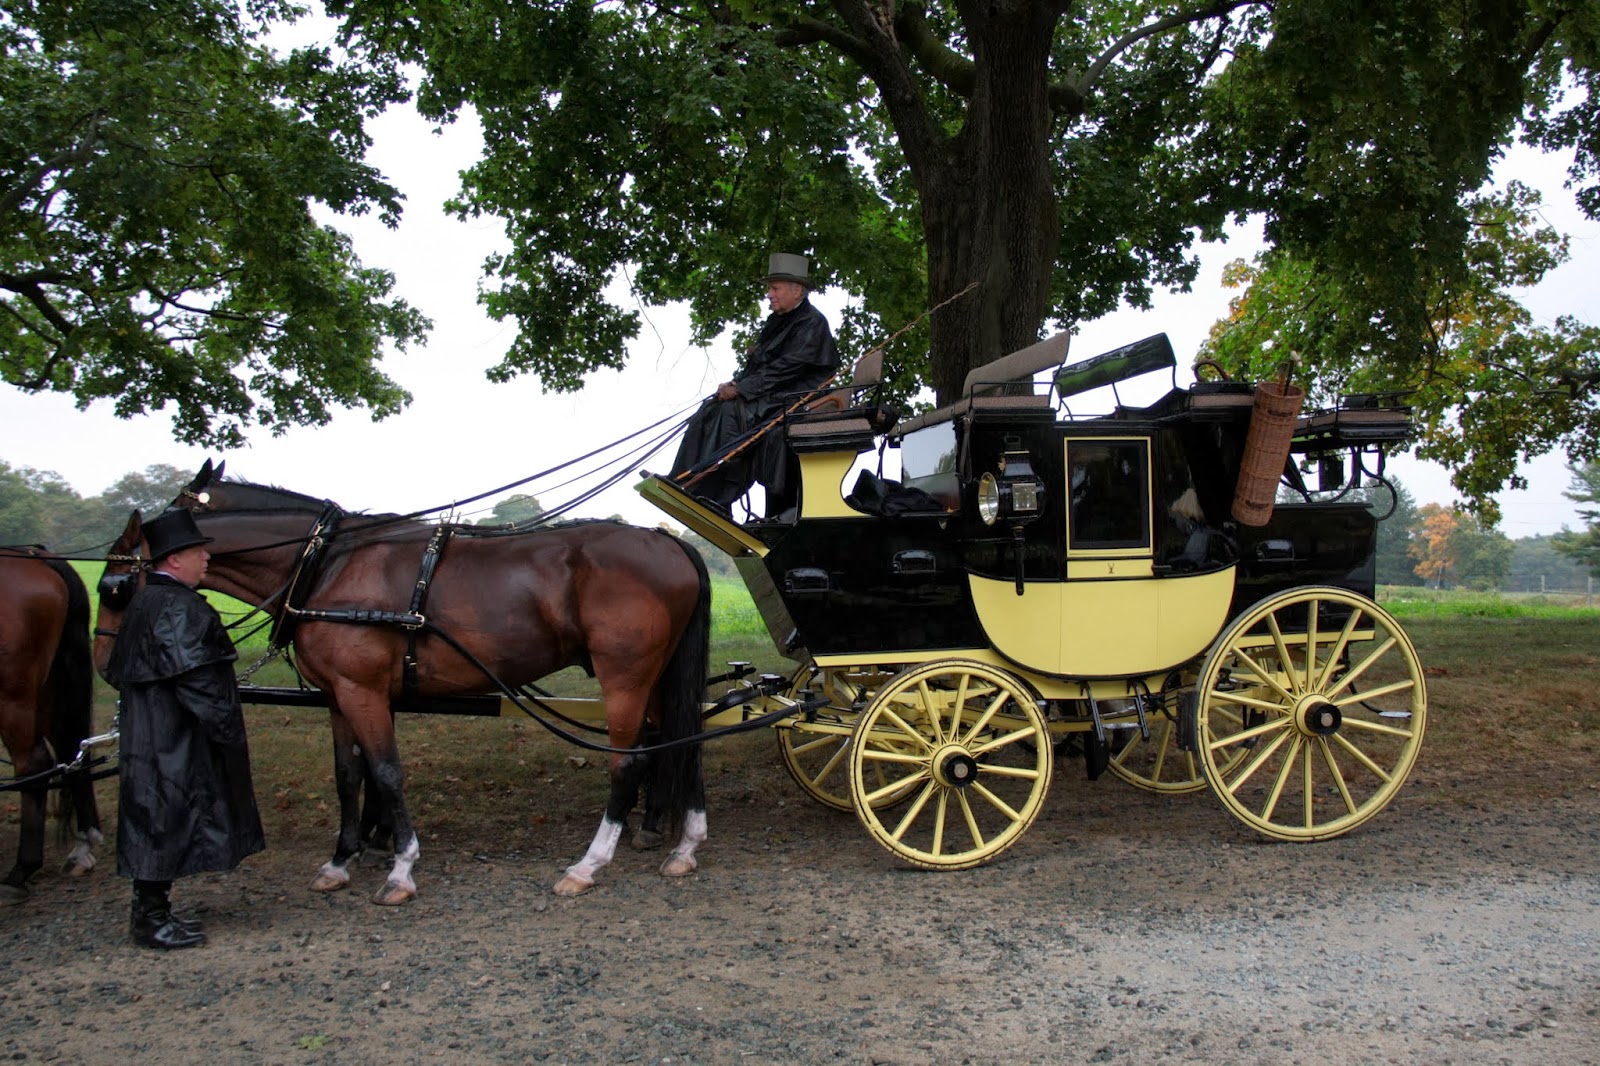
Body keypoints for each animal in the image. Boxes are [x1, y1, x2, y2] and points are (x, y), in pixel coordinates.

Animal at [0, 546, 104, 903]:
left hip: (14, 699)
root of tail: (33, 554)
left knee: (34, 766)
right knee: (70, 749)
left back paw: (21, 870)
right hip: (49, 690)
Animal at [109, 461, 712, 903]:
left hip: (624, 677)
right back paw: (684, 846)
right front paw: (340, 859)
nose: (110, 589)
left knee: (628, 761)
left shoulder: (363, 691)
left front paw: (400, 867)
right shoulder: (339, 696)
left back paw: (589, 864)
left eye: (119, 572)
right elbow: (347, 774)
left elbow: (386, 771)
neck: (328, 565)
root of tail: (670, 542)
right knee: (684, 743)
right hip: (658, 677)